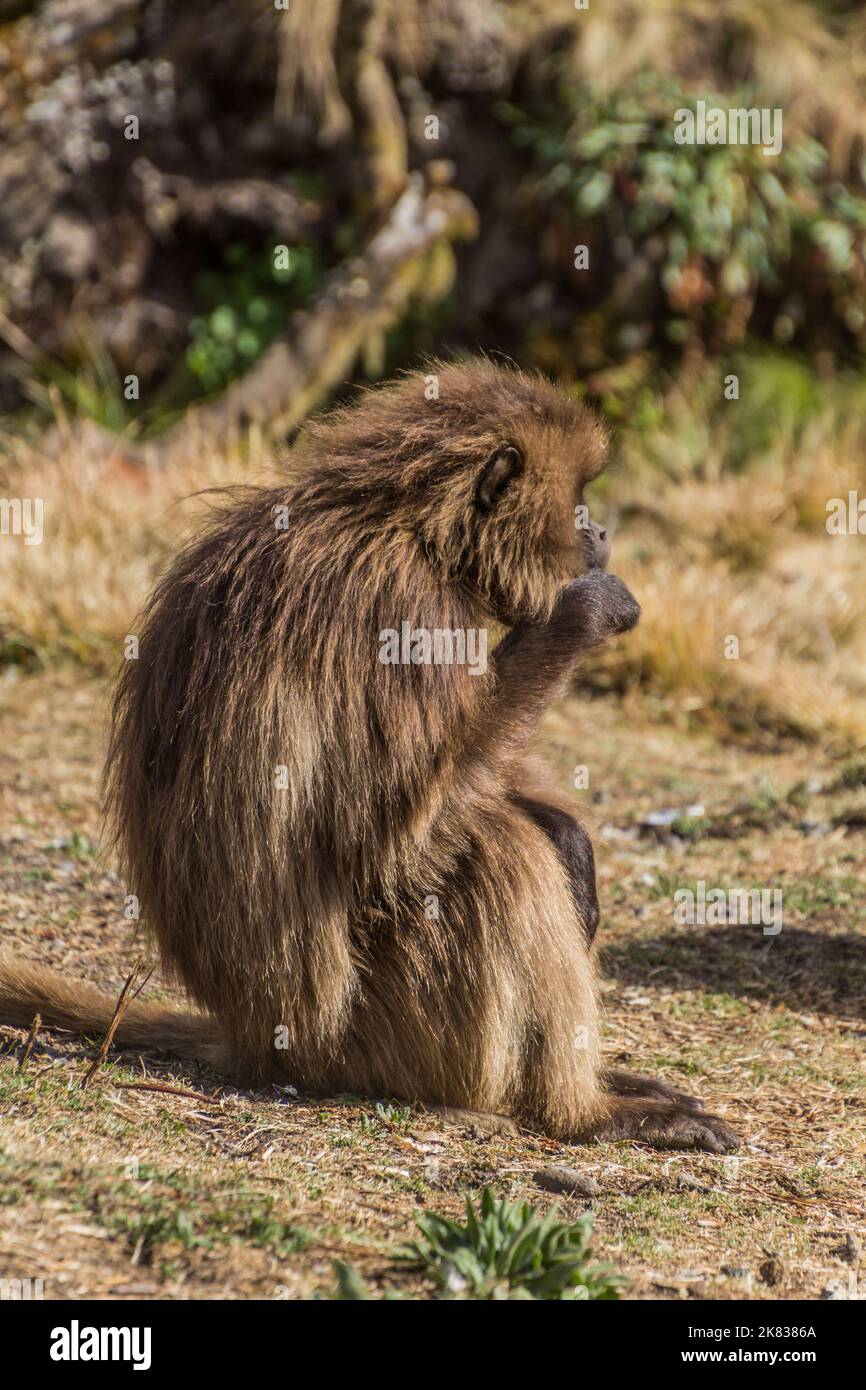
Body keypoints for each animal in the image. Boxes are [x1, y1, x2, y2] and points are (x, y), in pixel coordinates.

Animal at [0, 359, 737, 1152]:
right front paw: (583, 613)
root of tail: (257, 1037)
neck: (413, 531)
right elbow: (388, 842)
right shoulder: (405, 613)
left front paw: (572, 837)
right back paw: (583, 1111)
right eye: (578, 503)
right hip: (373, 1035)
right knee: (495, 857)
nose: (600, 530)